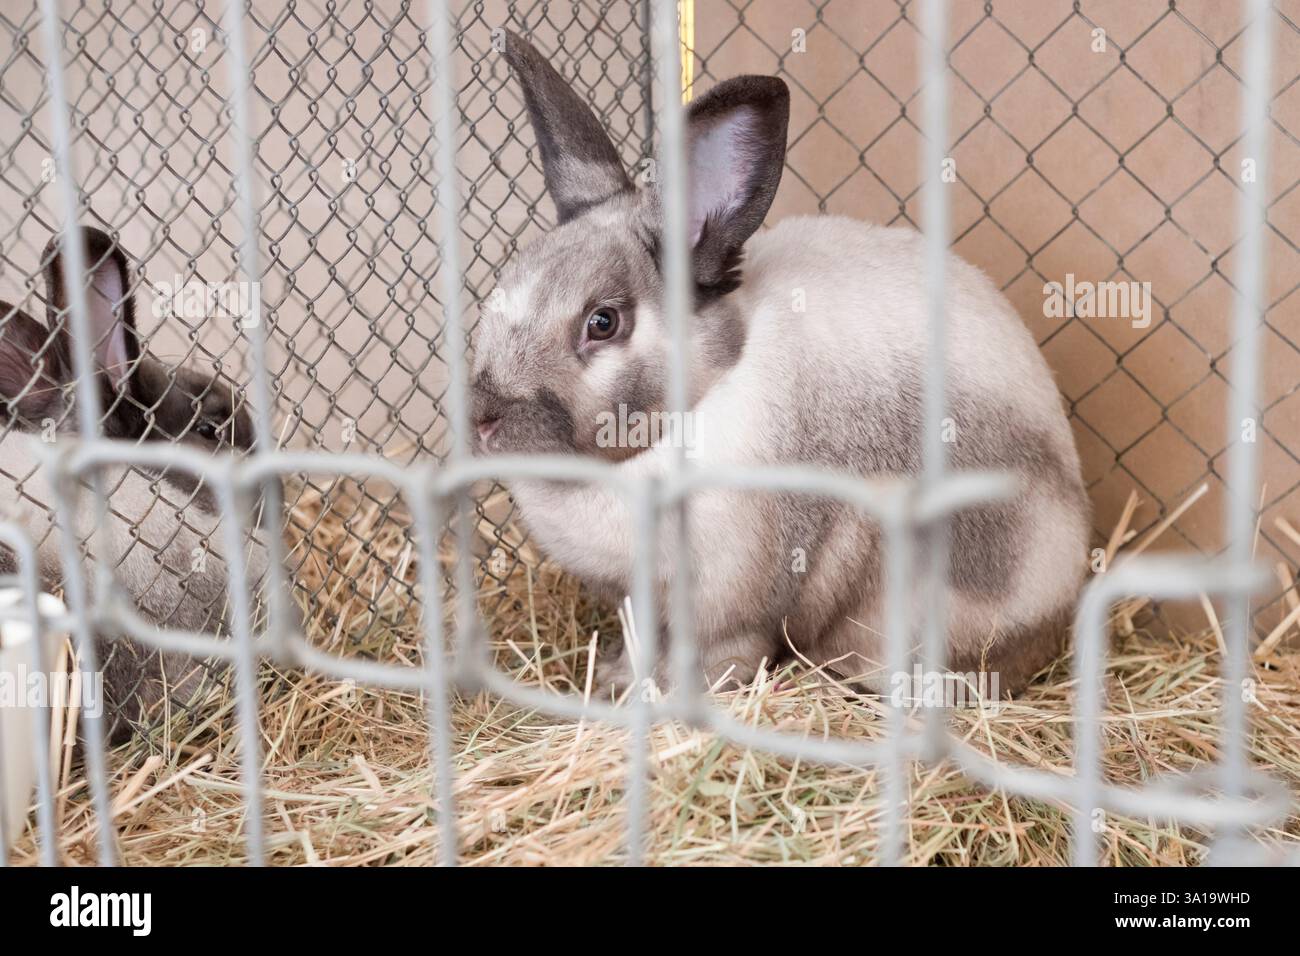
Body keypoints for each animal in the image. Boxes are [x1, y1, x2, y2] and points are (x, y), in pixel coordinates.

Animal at [471, 32, 1091, 698]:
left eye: (603, 322)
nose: (482, 418)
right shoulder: (637, 601)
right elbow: (641, 644)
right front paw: (616, 682)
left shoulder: (731, 600)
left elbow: (720, 653)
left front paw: (681, 696)